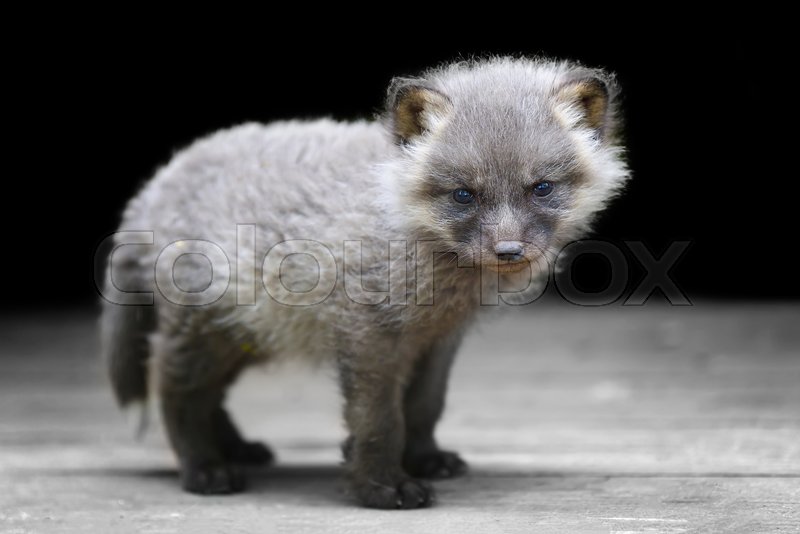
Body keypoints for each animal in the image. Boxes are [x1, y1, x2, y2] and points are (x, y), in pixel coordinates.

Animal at [100, 57, 629, 509]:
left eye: (542, 188)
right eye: (463, 195)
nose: (509, 252)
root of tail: (156, 185)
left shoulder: (438, 339)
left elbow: (423, 407)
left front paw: (424, 460)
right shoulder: (368, 336)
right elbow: (378, 420)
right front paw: (381, 486)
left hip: (248, 333)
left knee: (211, 397)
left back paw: (237, 449)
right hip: (204, 331)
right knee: (176, 388)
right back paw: (205, 469)